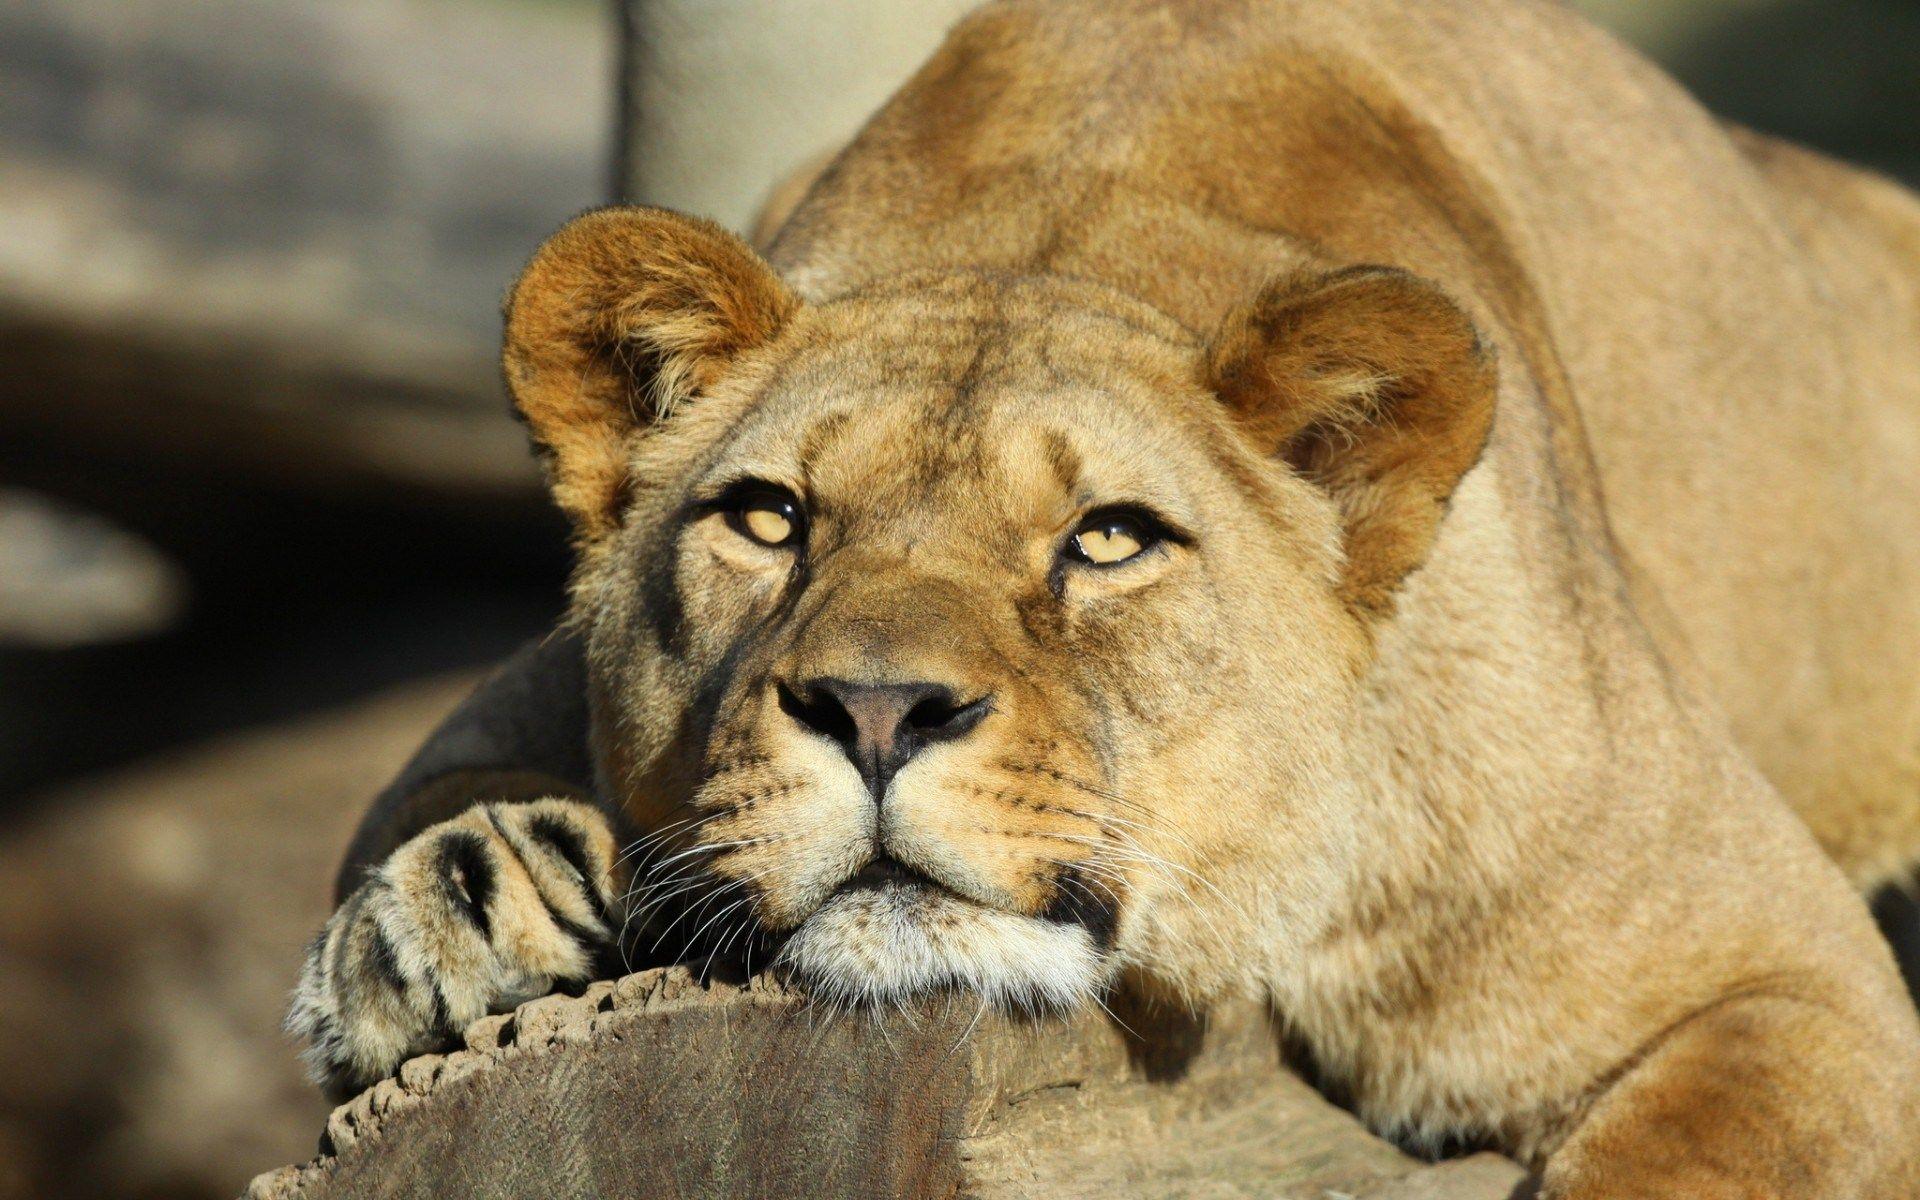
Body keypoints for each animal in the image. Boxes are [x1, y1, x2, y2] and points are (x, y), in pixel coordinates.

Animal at [288, 0, 1920, 1194]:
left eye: (1111, 541)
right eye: (767, 518)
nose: (877, 710)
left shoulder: (1792, 979)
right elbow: (415, 799)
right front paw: (454, 915)